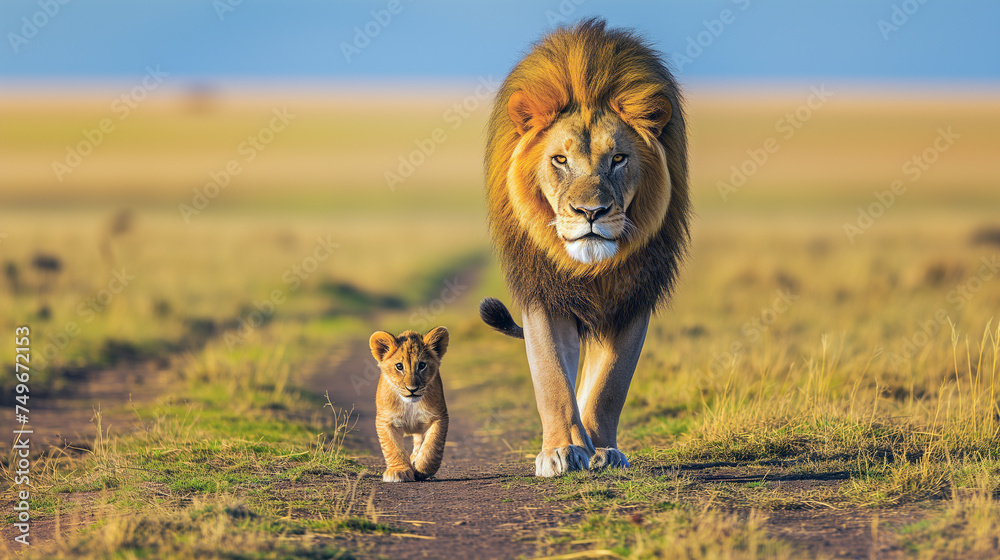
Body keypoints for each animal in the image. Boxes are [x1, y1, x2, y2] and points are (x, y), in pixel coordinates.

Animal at [369, 327, 450, 482]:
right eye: (399, 366)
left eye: (422, 365)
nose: (412, 389)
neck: (409, 405)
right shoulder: (386, 420)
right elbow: (392, 447)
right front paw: (398, 471)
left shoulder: (438, 417)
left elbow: (433, 445)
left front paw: (422, 469)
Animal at [479, 19, 690, 477]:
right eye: (560, 160)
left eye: (619, 159)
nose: (591, 212)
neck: (590, 269)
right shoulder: (544, 292)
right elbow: (551, 376)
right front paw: (562, 449)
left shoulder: (633, 297)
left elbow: (611, 382)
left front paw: (602, 449)